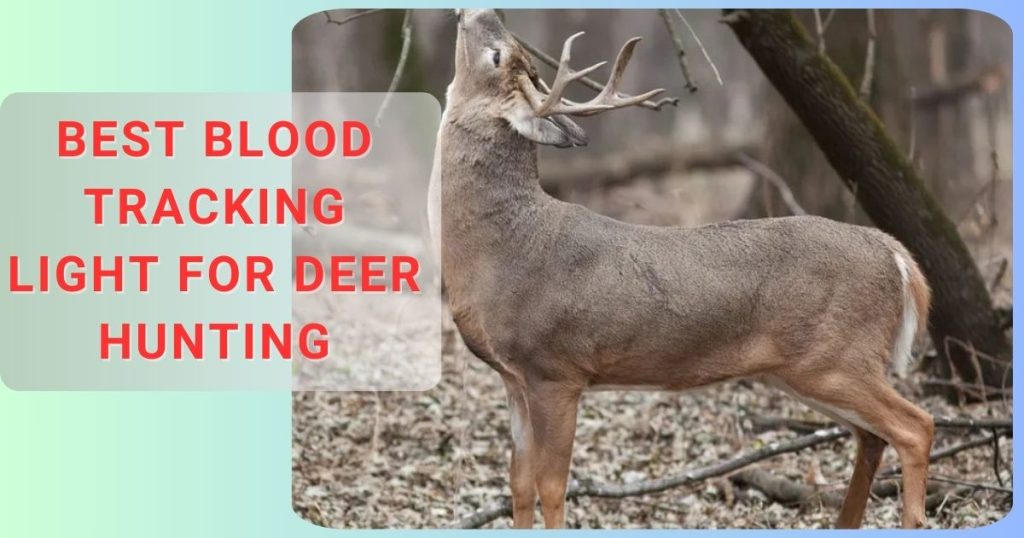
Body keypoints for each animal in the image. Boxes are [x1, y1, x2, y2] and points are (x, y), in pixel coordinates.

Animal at [430, 8, 934, 529]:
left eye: (497, 56)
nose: (481, 11)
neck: (503, 249)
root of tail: (896, 255)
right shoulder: (513, 377)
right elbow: (518, 483)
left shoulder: (556, 369)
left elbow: (551, 486)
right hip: (806, 369)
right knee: (872, 435)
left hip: (836, 357)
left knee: (916, 426)